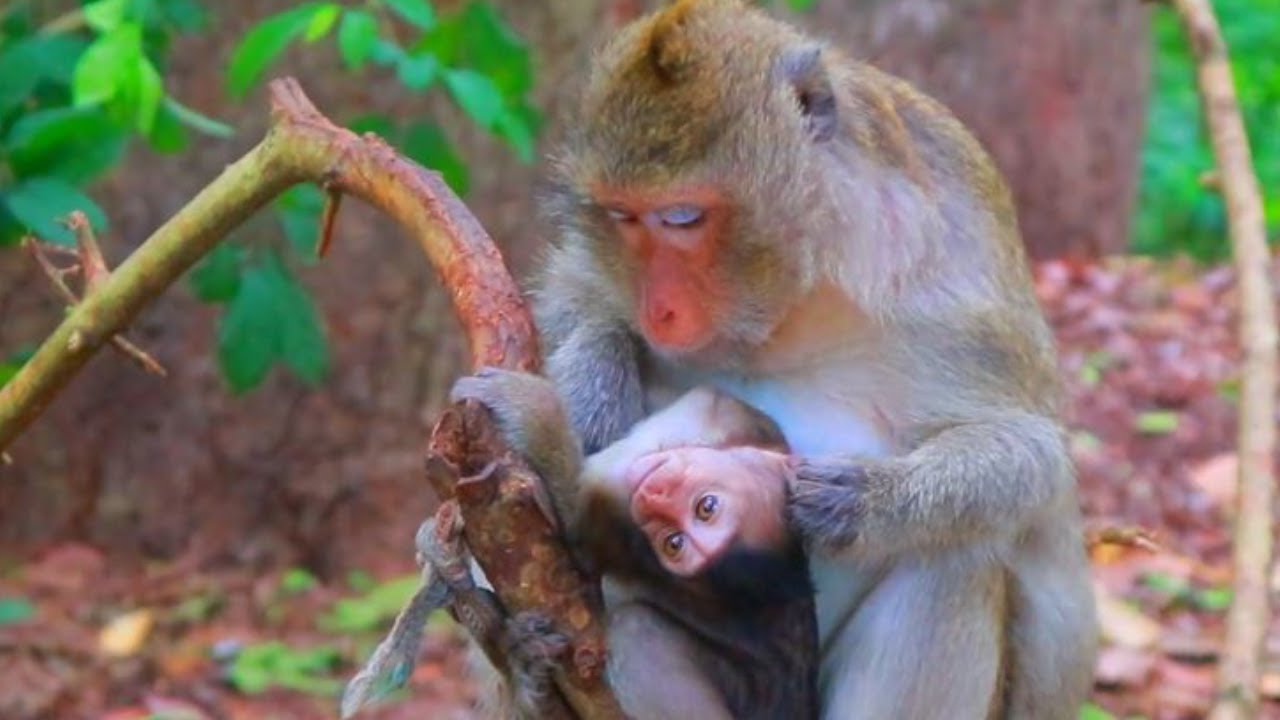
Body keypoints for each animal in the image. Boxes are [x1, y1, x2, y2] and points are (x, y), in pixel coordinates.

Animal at [452, 372, 819, 720]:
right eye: (707, 507)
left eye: (673, 544)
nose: (653, 498)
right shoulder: (725, 415)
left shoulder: (620, 525)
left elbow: (577, 546)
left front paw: (530, 408)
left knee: (637, 634)